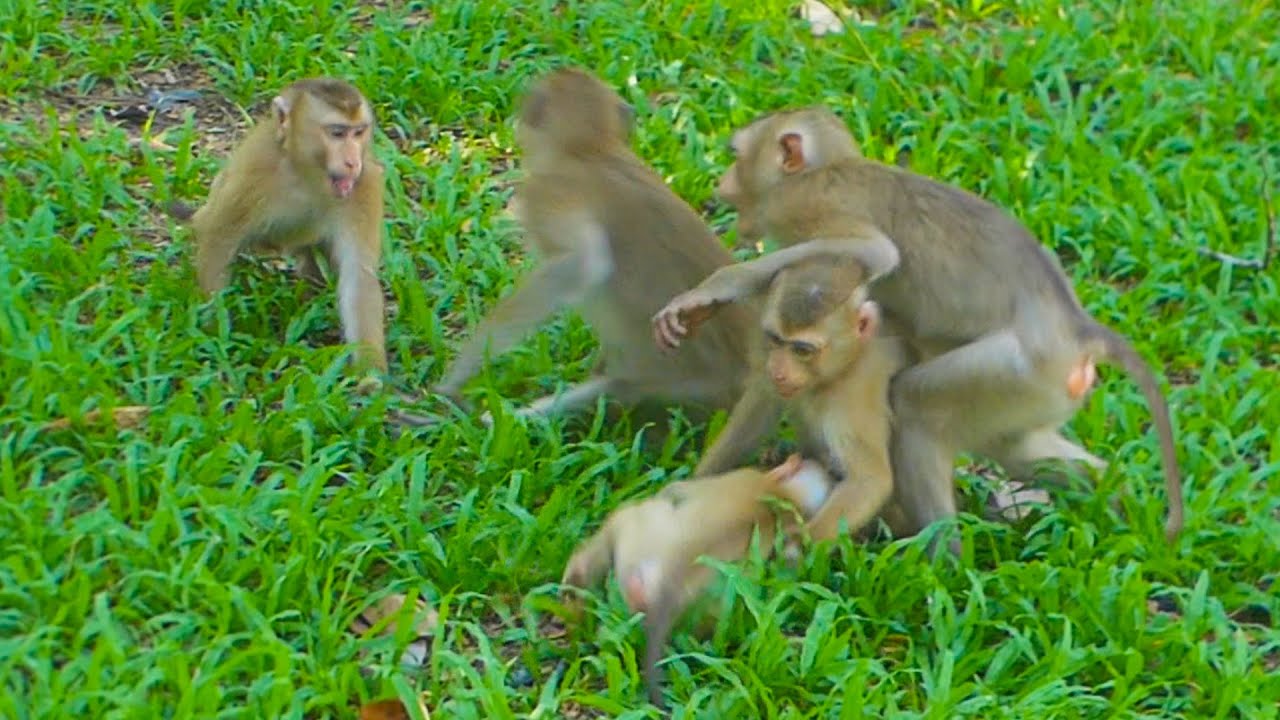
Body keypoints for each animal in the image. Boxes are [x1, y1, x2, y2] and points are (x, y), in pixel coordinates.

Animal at [168, 76, 389, 375]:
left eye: (359, 133)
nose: (352, 162)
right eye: (337, 134)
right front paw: (215, 331)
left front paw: (370, 374)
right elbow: (217, 239)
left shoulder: (364, 185)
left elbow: (359, 276)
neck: (309, 173)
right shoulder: (256, 171)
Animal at [428, 67, 755, 426]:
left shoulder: (542, 193)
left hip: (680, 387)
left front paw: (457, 376)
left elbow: (581, 264)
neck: (591, 150)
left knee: (617, 389)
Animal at [560, 453, 834, 709]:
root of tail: (671, 583)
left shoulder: (743, 476)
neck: (786, 497)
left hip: (638, 537)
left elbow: (677, 490)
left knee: (629, 514)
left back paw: (575, 592)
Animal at [651, 106, 1182, 544]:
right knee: (1017, 447)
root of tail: (1075, 327)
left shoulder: (802, 206)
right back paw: (1120, 497)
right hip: (1041, 392)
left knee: (916, 409)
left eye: (737, 155)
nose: (721, 184)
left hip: (1013, 371)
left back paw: (939, 564)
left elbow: (876, 254)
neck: (828, 168)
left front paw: (717, 287)